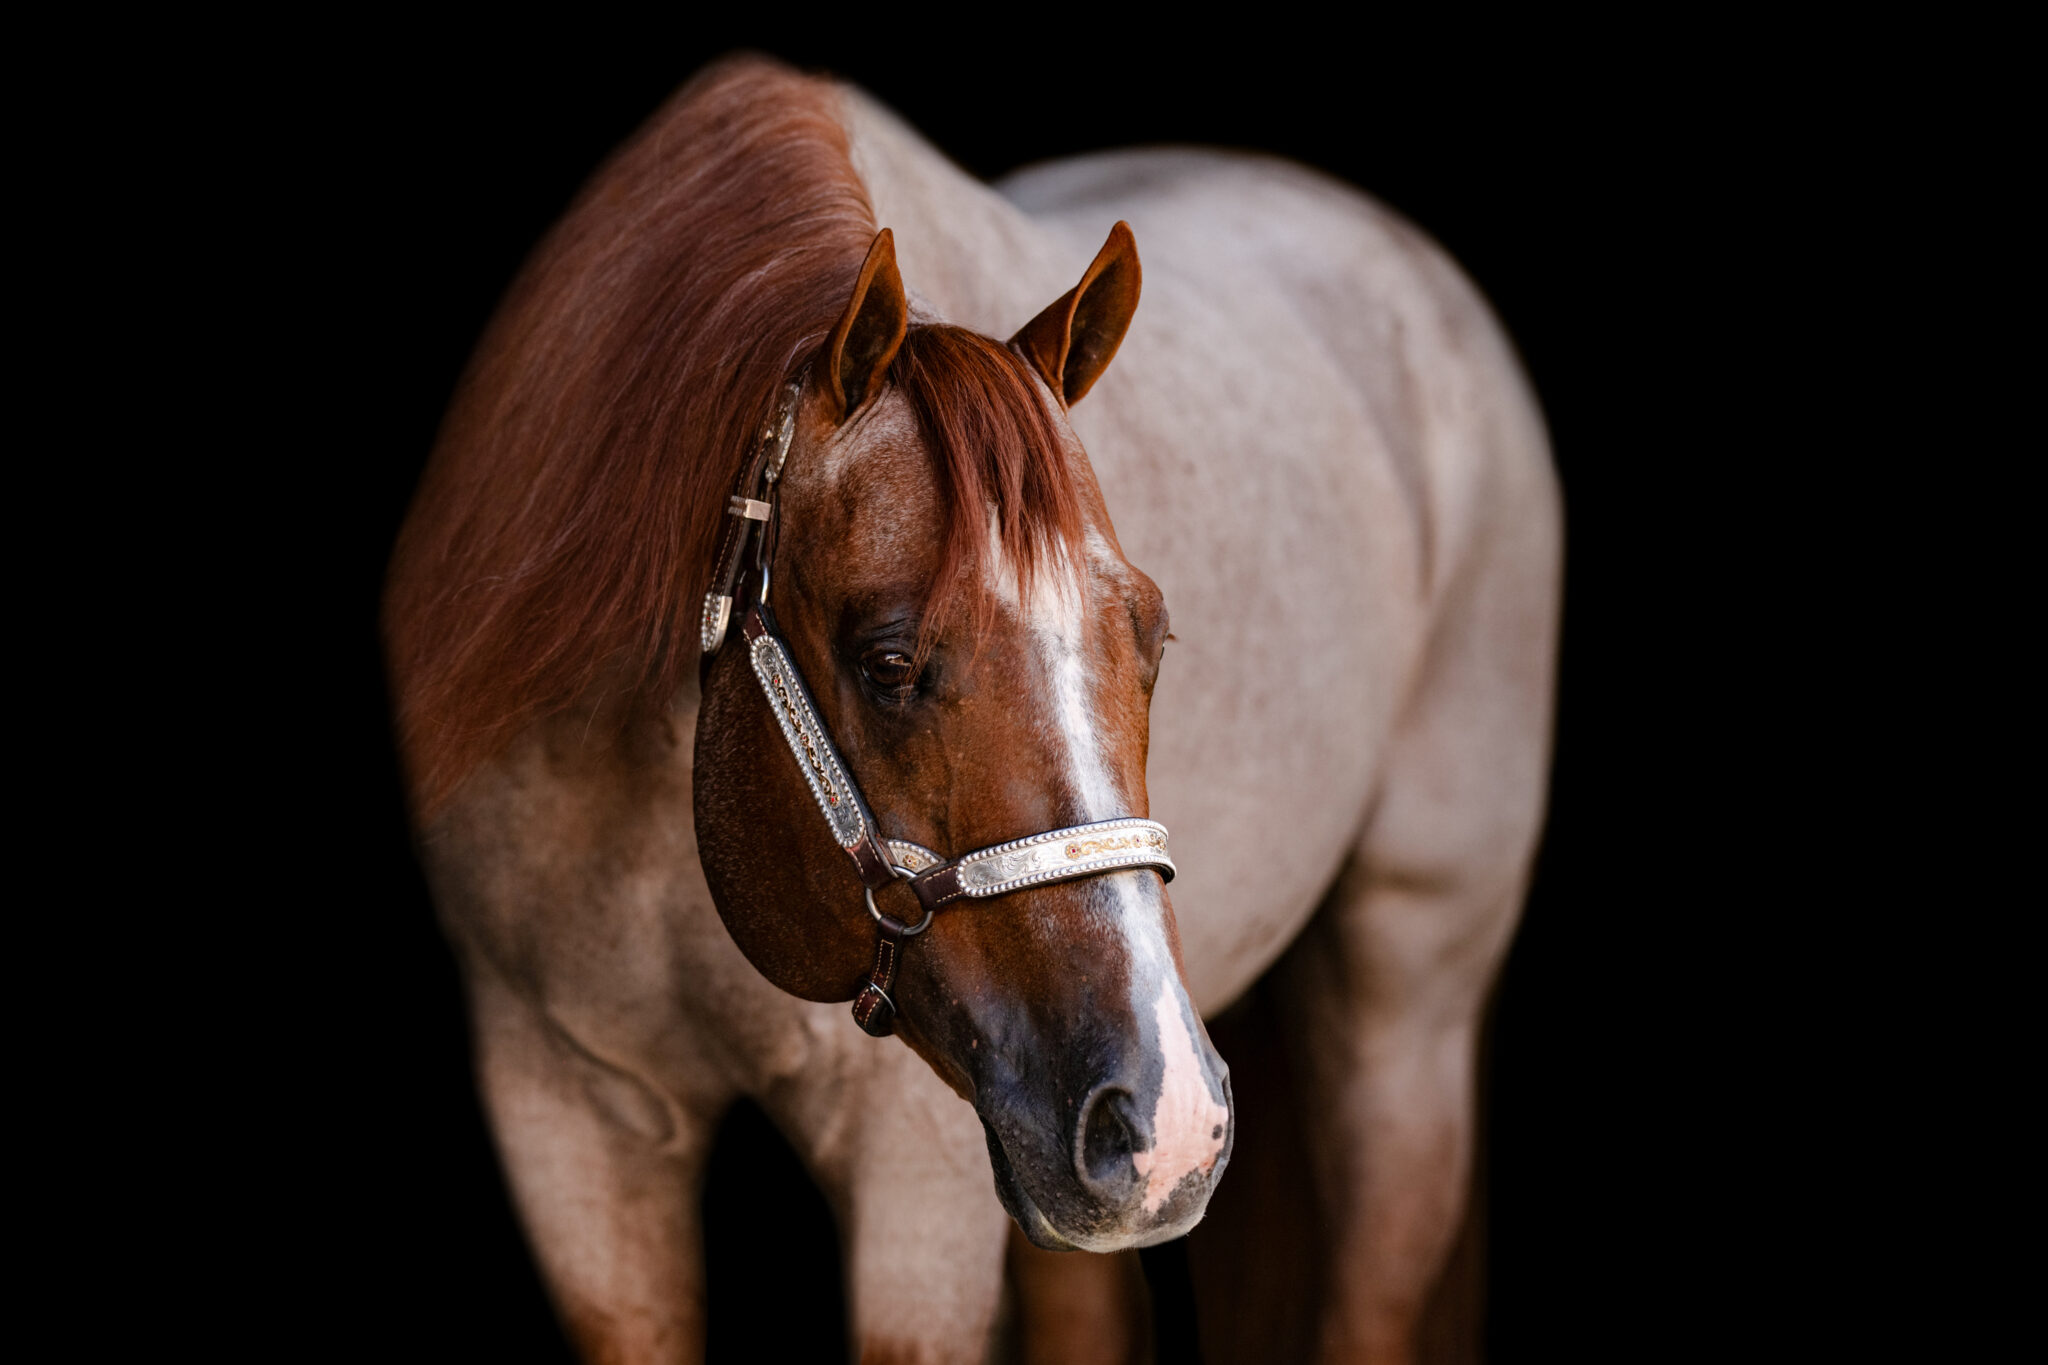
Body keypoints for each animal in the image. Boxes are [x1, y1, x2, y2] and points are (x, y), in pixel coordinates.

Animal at [384, 55, 1558, 1365]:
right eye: (889, 661)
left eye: (1151, 637)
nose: (1171, 1122)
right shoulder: (567, 1116)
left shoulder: (919, 1174)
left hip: (1404, 999)